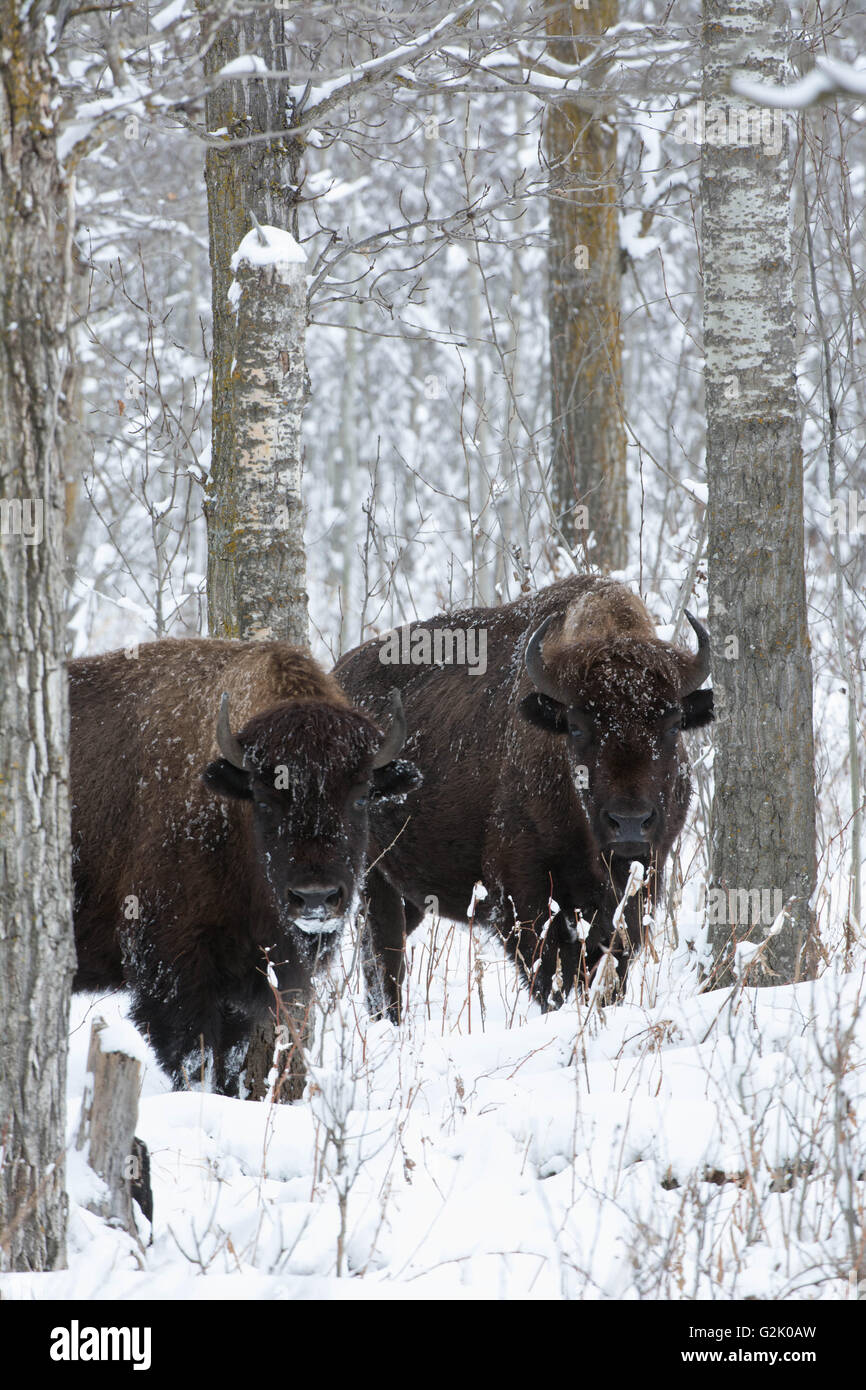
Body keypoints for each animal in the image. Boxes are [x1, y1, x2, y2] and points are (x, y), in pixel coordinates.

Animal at [70, 639, 420, 1091]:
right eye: (265, 801)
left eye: (360, 797)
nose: (315, 898)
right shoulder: (174, 971)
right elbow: (194, 1058)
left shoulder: (242, 982)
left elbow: (229, 1059)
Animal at [334, 576, 712, 1019]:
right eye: (577, 727)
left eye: (672, 725)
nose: (630, 822)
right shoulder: (522, 897)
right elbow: (551, 973)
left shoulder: (640, 887)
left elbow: (610, 964)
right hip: (372, 877)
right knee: (383, 956)